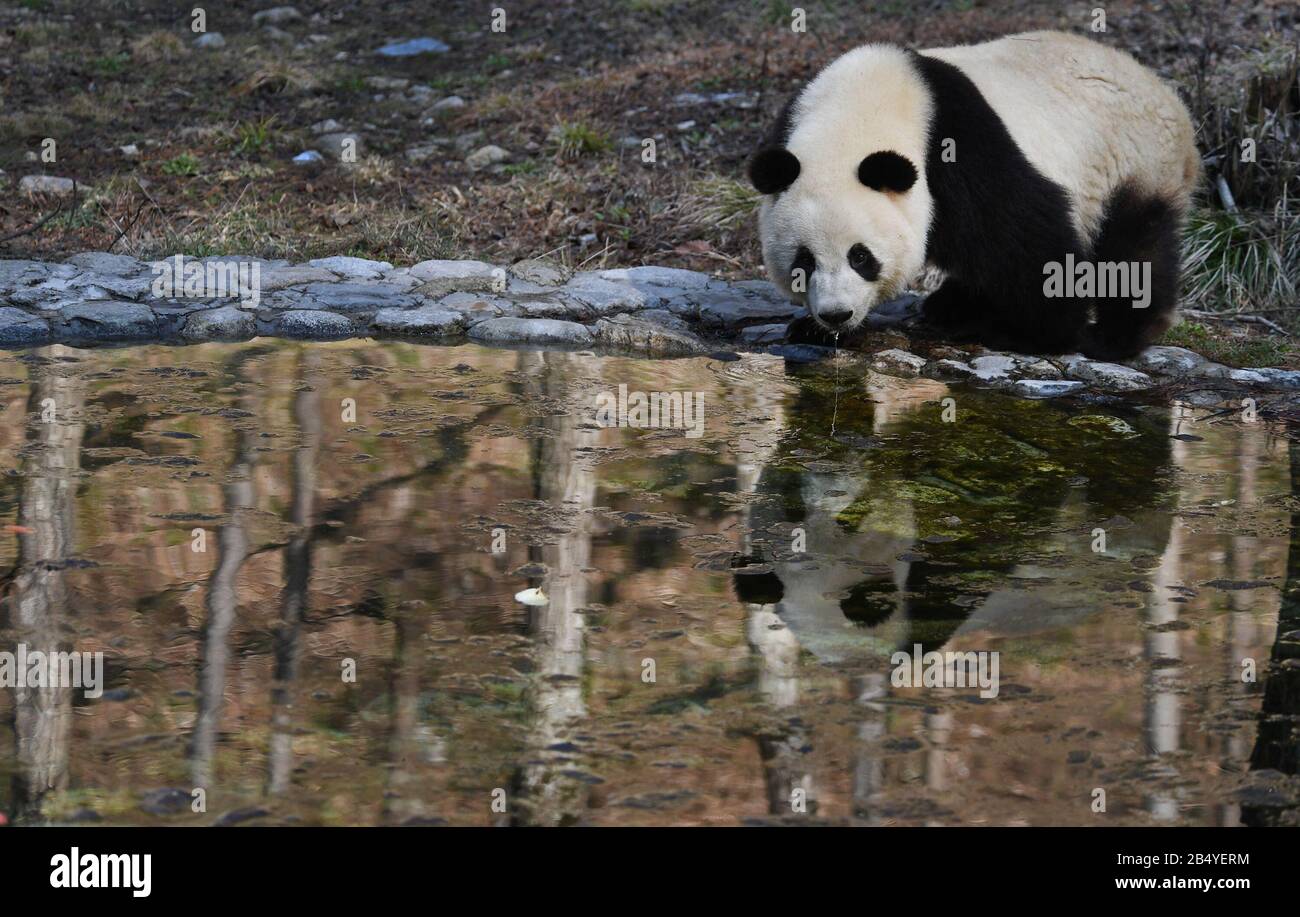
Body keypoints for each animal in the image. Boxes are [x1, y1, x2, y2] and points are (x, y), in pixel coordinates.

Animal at [748, 31, 1201, 360]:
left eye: (861, 256)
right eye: (804, 261)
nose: (836, 314)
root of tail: (1171, 101)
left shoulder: (959, 147)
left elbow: (1024, 237)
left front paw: (1044, 335)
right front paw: (809, 328)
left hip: (1134, 163)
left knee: (1133, 252)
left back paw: (1114, 338)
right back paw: (952, 305)